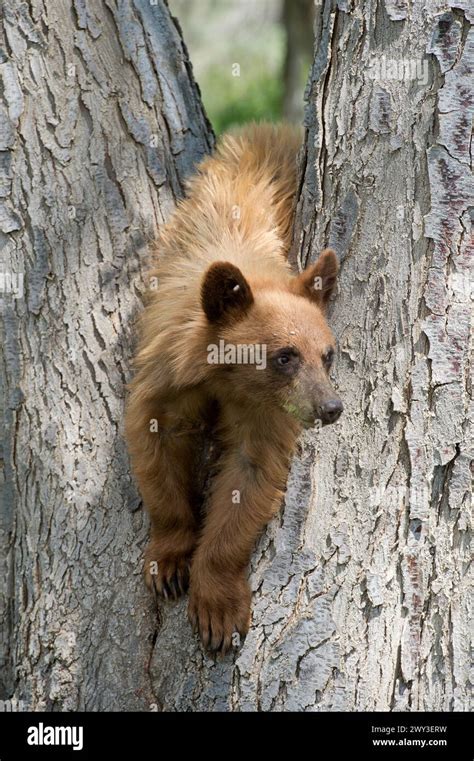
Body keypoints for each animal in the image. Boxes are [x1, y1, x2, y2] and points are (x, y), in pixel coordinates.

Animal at [125, 122, 343, 654]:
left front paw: (217, 608)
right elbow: (155, 444)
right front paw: (168, 561)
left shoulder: (264, 410)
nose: (331, 407)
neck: (224, 377)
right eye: (285, 356)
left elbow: (250, 476)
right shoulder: (167, 375)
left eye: (327, 354)